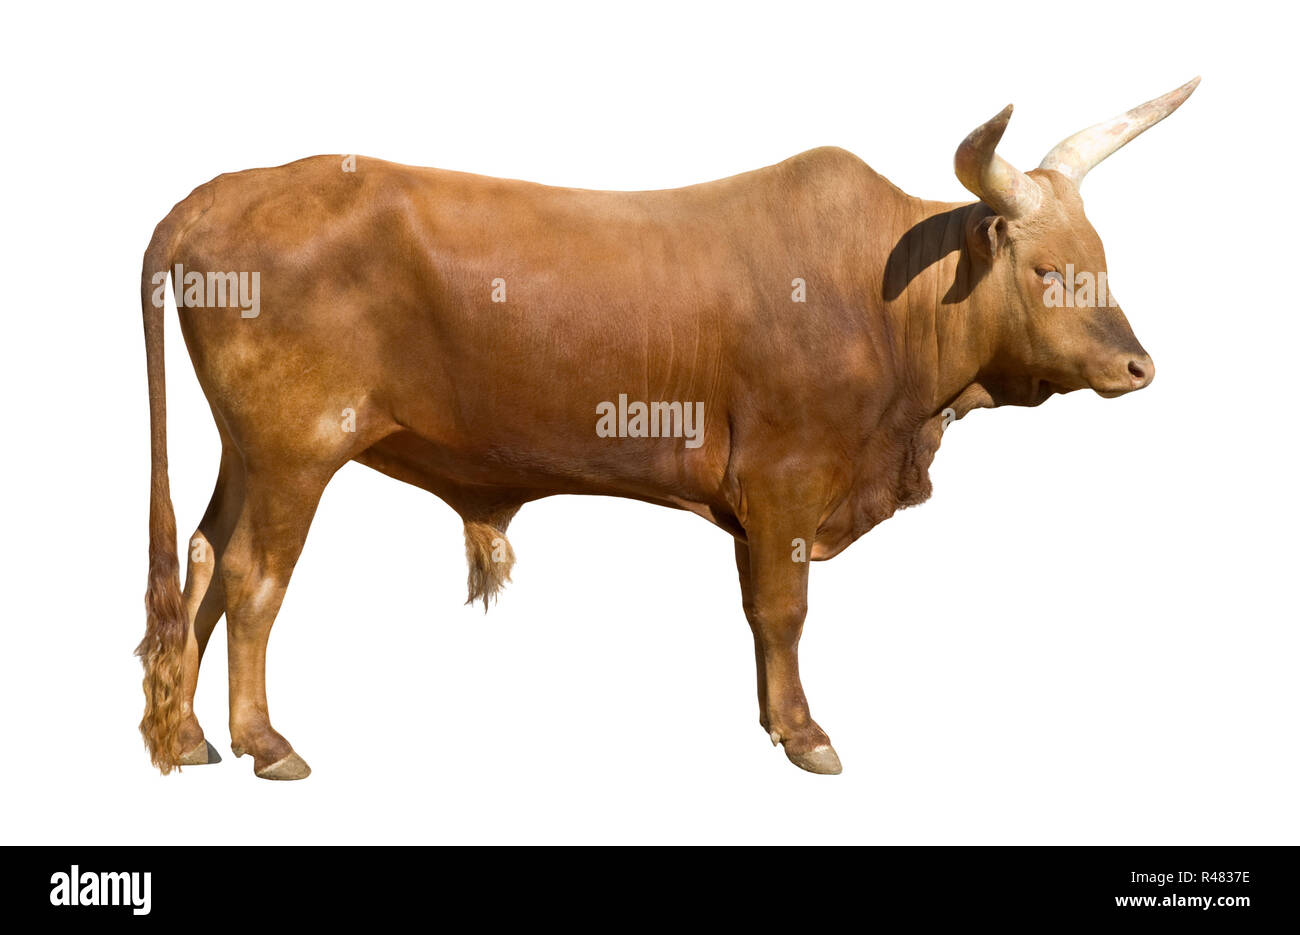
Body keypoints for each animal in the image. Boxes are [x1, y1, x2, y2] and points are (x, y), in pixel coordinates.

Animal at [137, 79, 1199, 779]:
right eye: (1048, 270)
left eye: (1102, 257)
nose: (1138, 367)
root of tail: (216, 194)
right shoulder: (787, 480)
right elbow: (785, 610)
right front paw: (807, 734)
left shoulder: (760, 502)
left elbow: (759, 614)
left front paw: (773, 720)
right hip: (297, 451)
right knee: (253, 578)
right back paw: (265, 742)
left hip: (246, 451)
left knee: (202, 561)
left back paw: (188, 736)